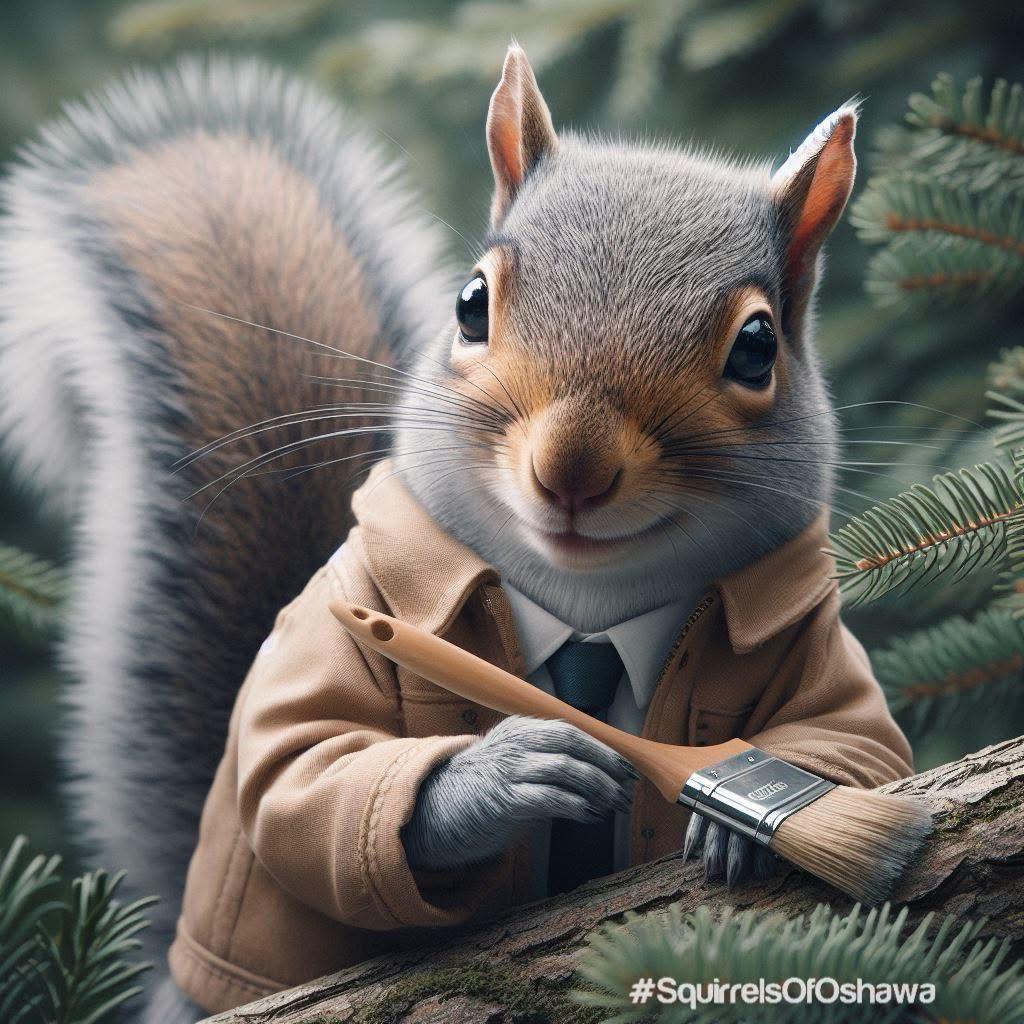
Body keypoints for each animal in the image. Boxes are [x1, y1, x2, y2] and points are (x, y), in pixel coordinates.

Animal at [0, 46, 914, 1023]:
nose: (572, 470)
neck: (588, 607)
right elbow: (298, 768)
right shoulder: (345, 610)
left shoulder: (808, 635)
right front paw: (504, 774)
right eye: (471, 302)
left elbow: (855, 736)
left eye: (757, 346)